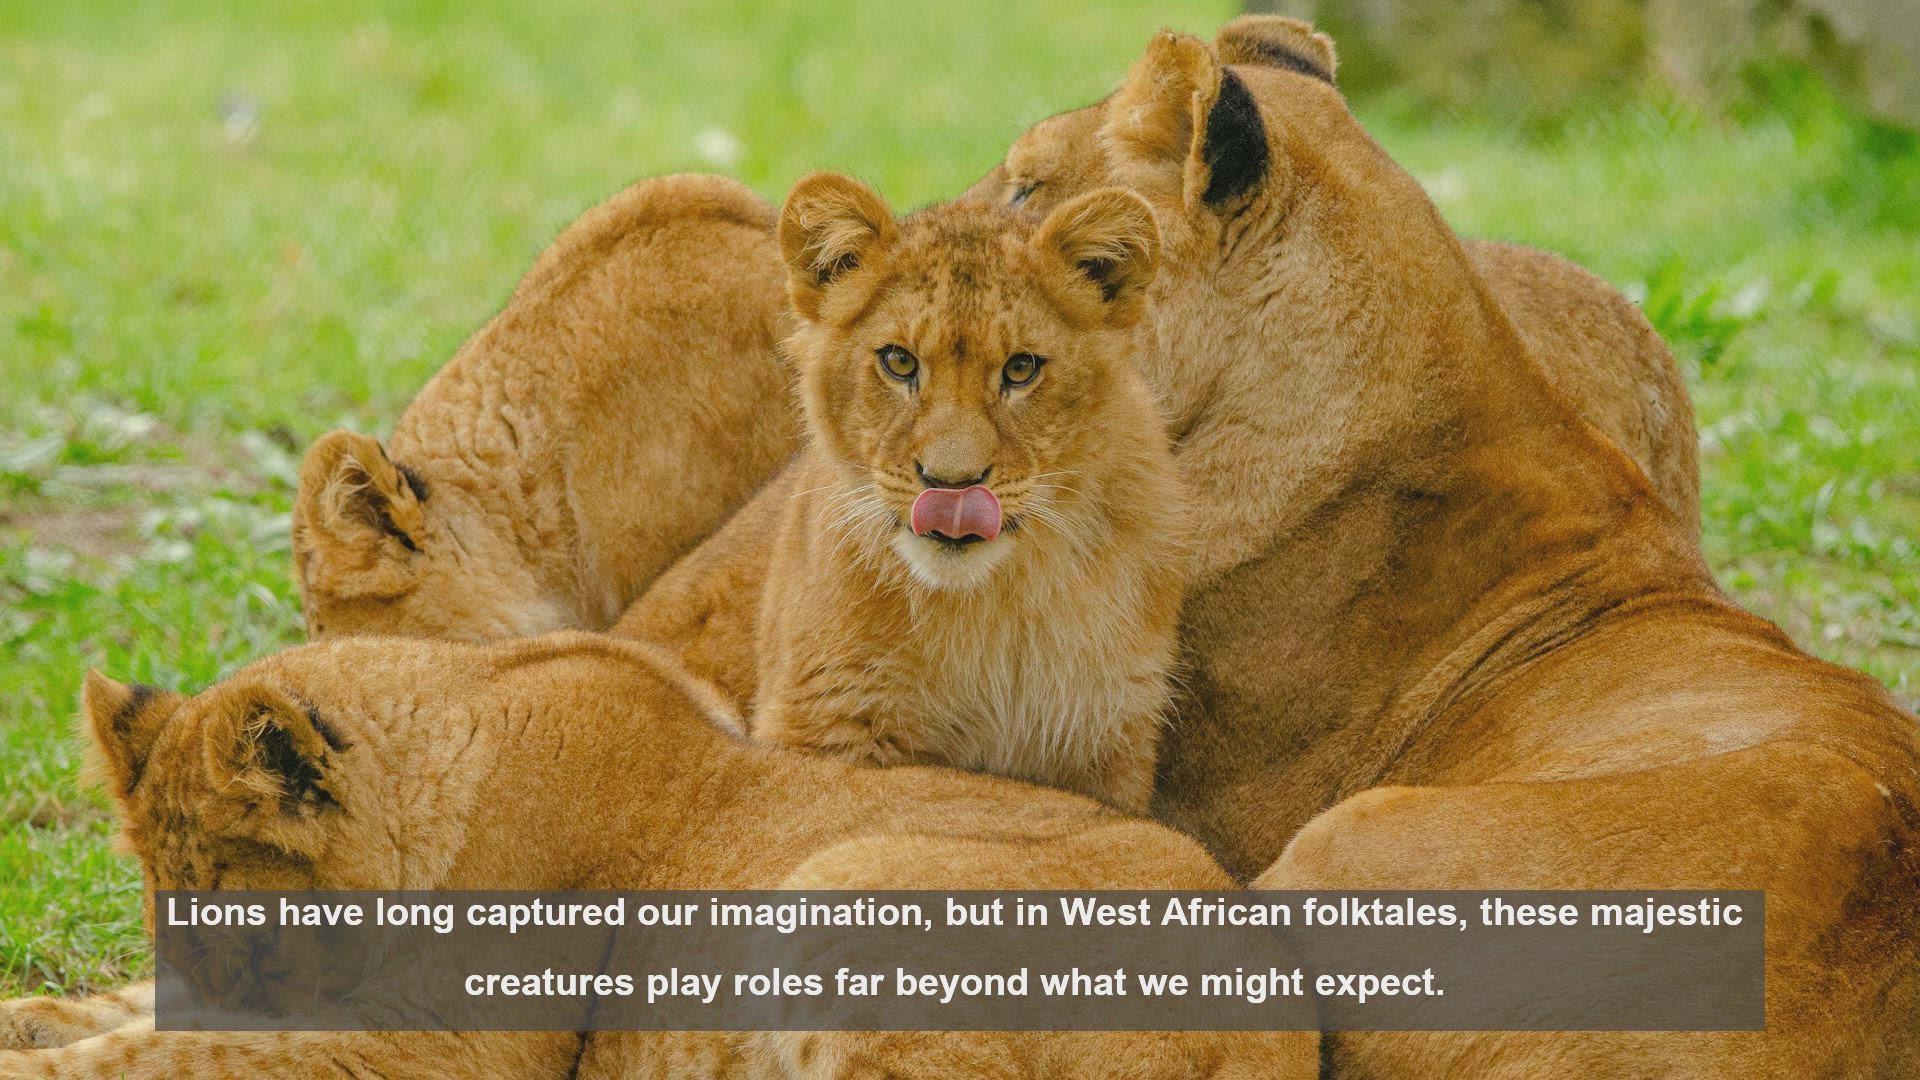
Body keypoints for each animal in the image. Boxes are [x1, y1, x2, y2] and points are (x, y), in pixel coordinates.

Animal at [0, 634, 1311, 1078]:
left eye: (252, 933)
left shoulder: (439, 1051)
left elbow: (177, 1054)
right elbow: (135, 1014)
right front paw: (29, 1018)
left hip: (837, 894)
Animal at [694, 173, 1186, 810]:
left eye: (1021, 369)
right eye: (899, 362)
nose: (952, 486)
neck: (989, 609)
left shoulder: (1109, 732)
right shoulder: (825, 720)